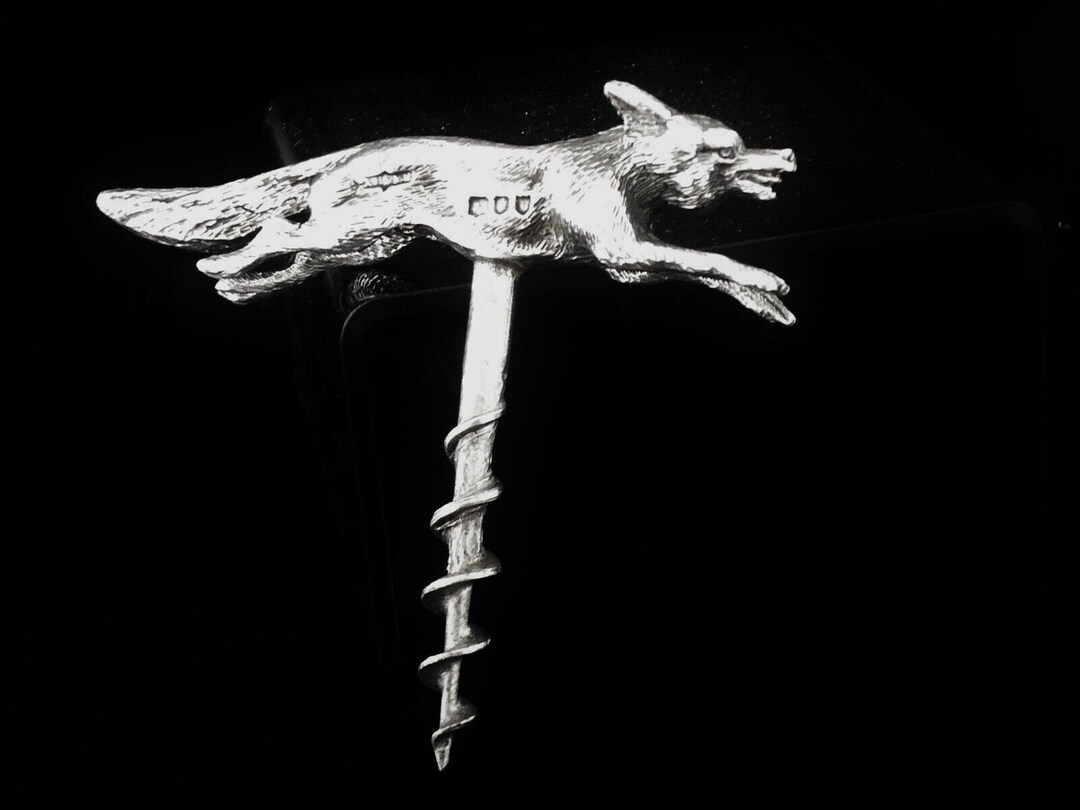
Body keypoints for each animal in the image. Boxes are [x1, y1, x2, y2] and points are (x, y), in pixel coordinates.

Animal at [97, 81, 797, 324]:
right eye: (727, 149)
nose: (788, 156)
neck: (624, 167)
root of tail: (347, 154)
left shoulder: (631, 261)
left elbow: (699, 266)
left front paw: (760, 299)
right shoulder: (624, 248)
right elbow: (710, 258)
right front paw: (763, 278)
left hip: (368, 245)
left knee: (293, 257)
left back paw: (238, 288)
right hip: (349, 230)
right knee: (274, 231)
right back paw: (220, 268)